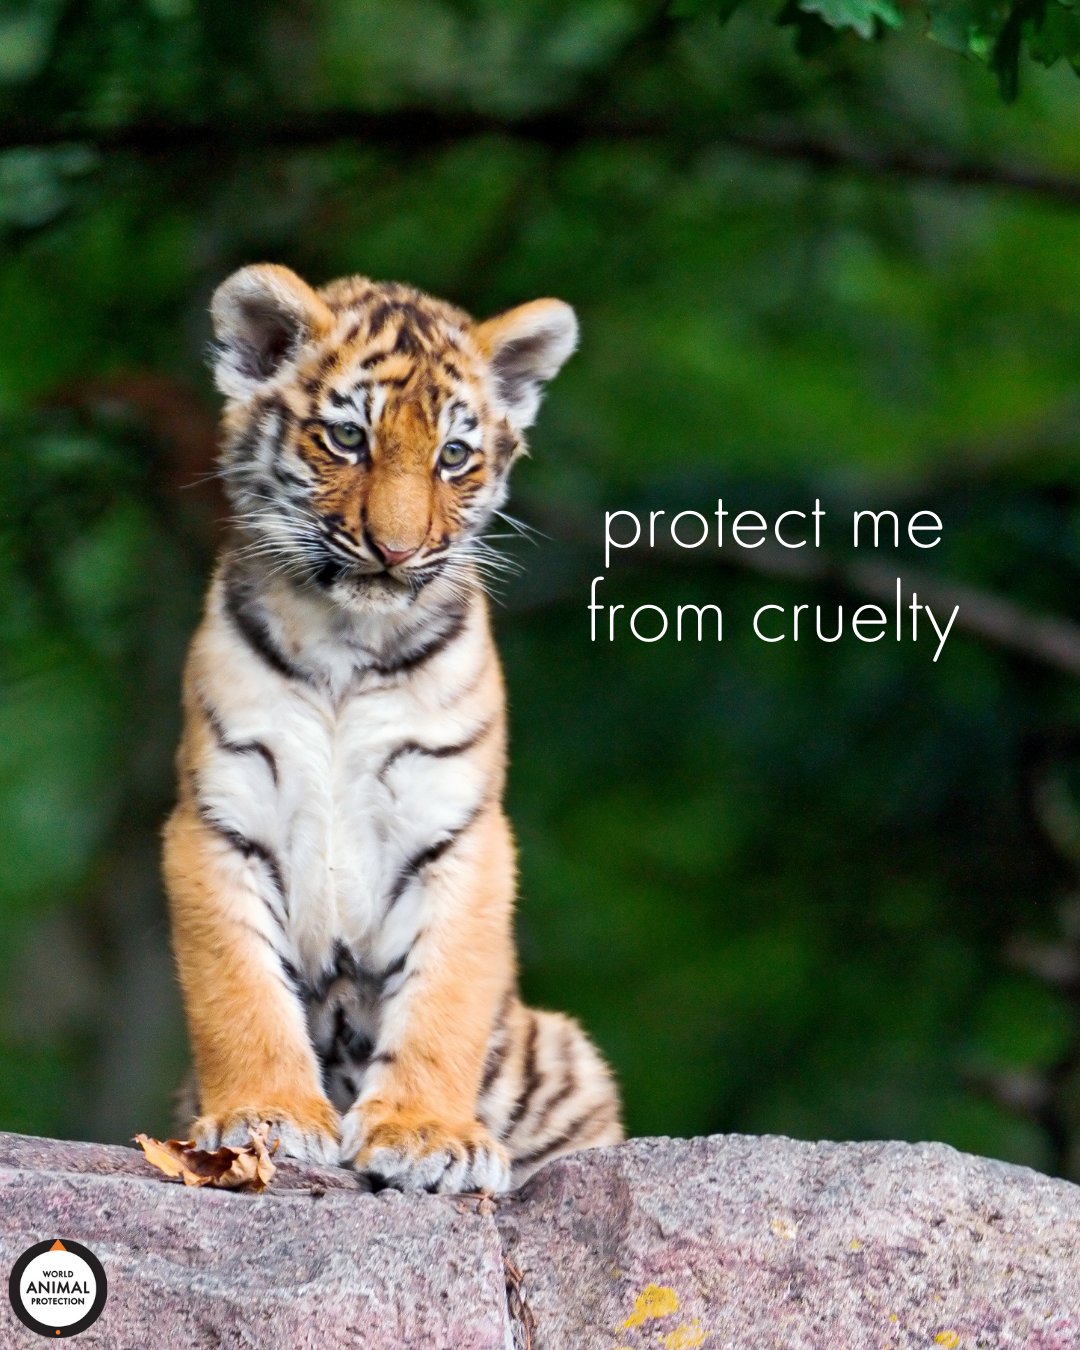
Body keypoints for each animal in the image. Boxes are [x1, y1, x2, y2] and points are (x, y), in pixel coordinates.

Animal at [162, 263, 622, 1193]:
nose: (397, 551)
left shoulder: (461, 834)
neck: (347, 642)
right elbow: (238, 990)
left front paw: (424, 1135)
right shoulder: (215, 822)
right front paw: (266, 1115)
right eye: (347, 438)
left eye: (454, 455)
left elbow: (444, 998)